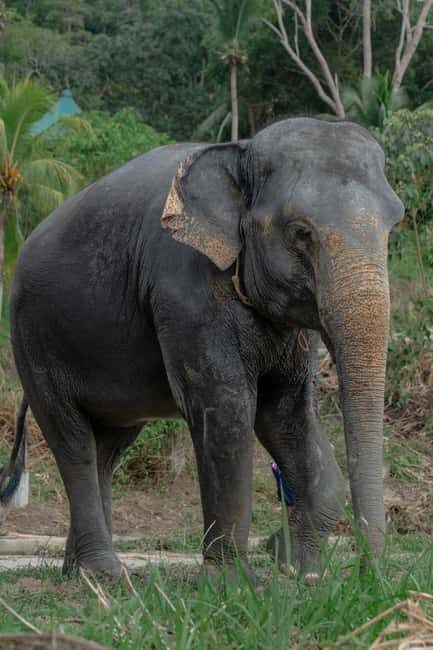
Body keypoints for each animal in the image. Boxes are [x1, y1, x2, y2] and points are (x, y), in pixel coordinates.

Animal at [0, 117, 404, 580]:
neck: (240, 149)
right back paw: (105, 574)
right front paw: (235, 582)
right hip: (33, 339)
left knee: (109, 446)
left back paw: (80, 572)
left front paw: (298, 569)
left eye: (394, 225)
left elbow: (286, 411)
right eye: (301, 234)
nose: (368, 575)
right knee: (73, 442)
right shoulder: (184, 290)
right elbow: (227, 408)